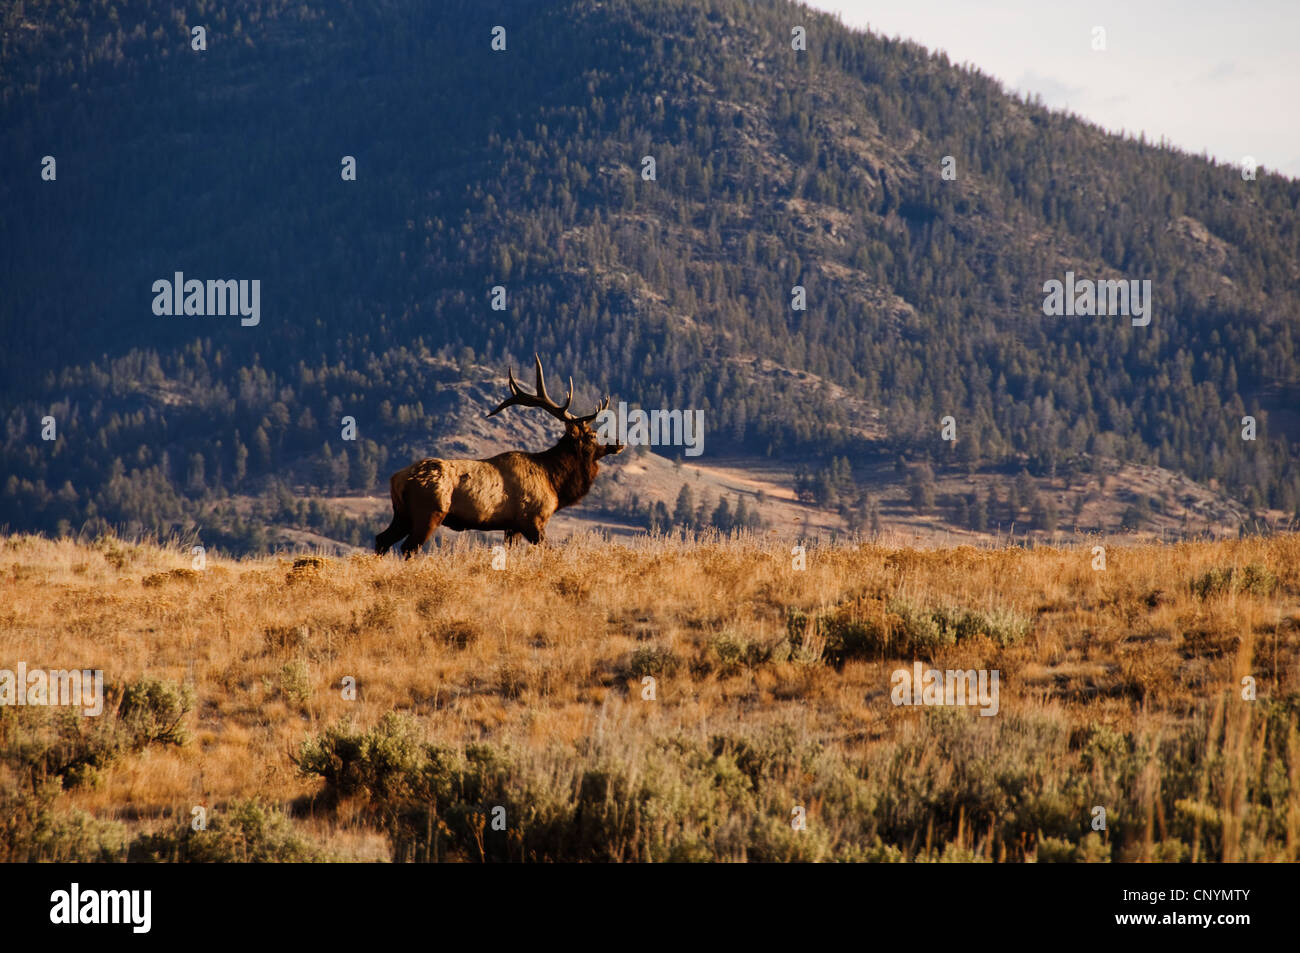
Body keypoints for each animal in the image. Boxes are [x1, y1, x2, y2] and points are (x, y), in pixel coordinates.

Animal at [375, 355, 624, 558]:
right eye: (592, 434)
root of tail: (396, 479)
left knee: (381, 539)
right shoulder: (532, 520)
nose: (619, 443)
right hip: (429, 512)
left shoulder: (511, 526)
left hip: (402, 514)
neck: (554, 481)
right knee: (408, 548)